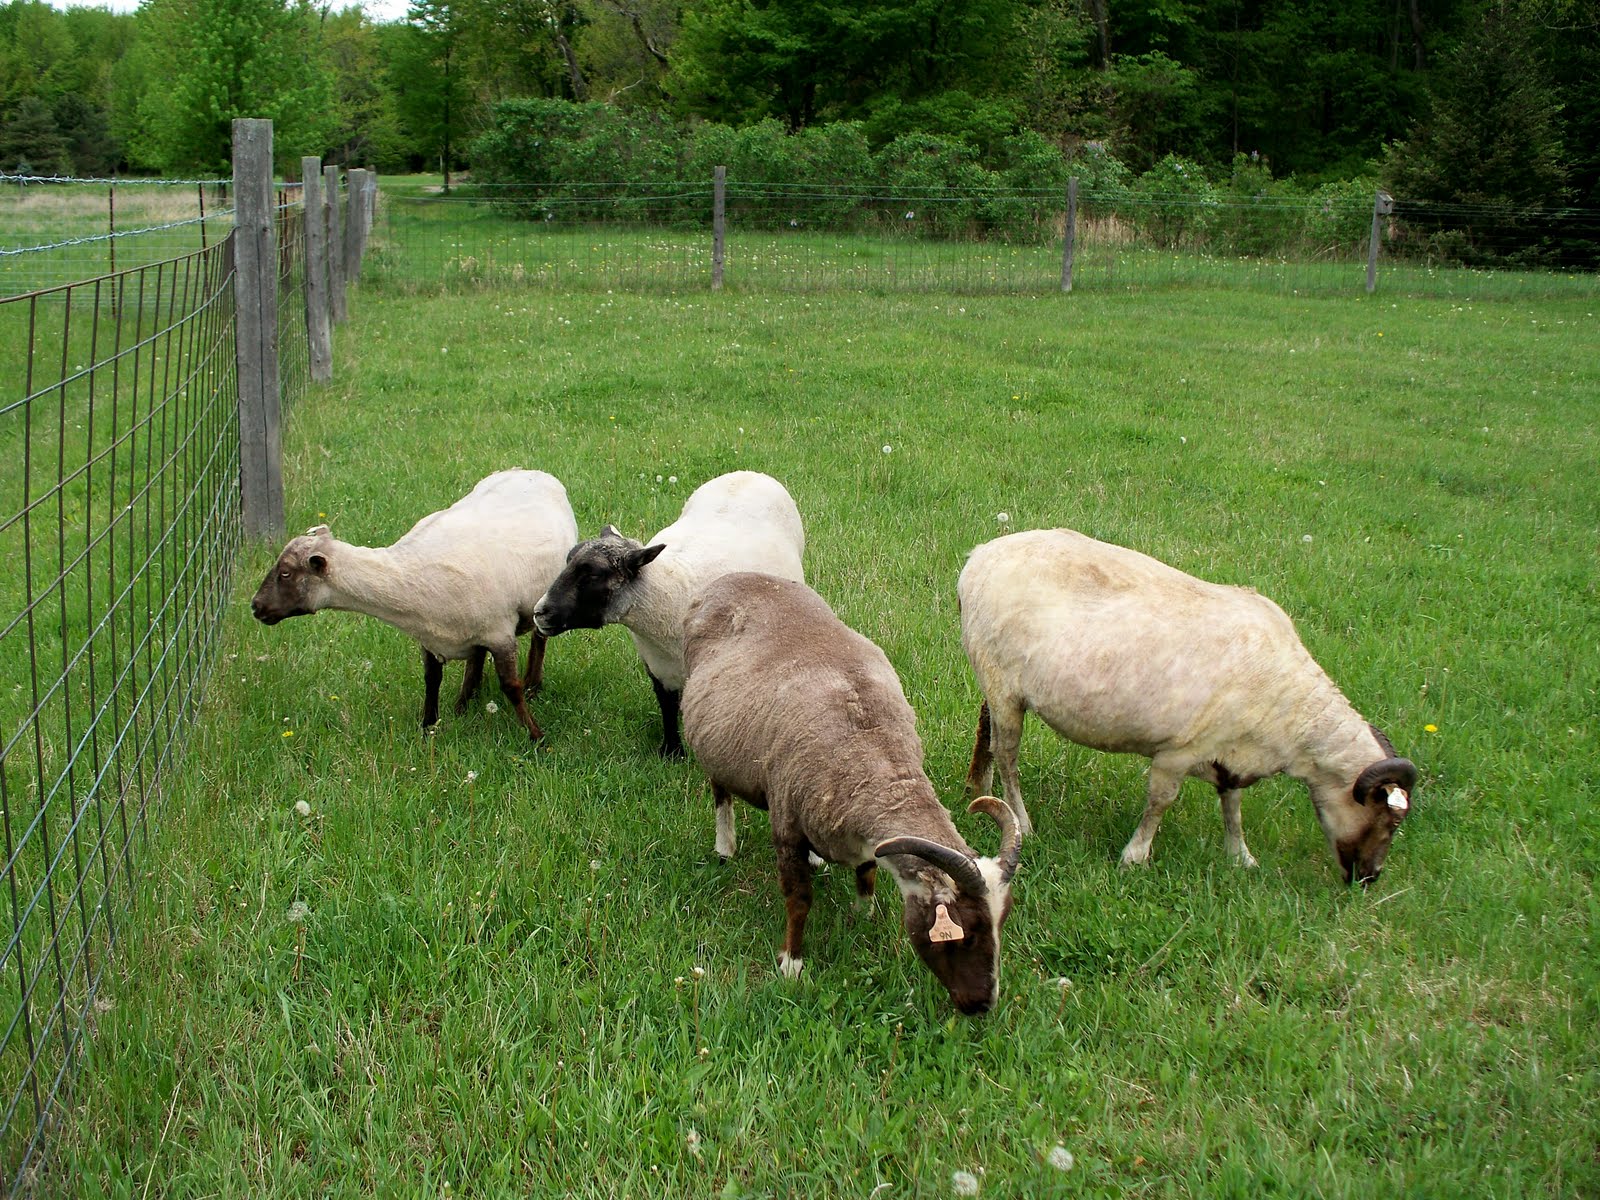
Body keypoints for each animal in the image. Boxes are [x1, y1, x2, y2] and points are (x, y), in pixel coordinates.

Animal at [251, 469, 578, 741]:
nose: (255, 606)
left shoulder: (500, 634)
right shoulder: (430, 636)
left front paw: (536, 736)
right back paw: (464, 702)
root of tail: (533, 471)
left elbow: (511, 687)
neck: (406, 577)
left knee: (538, 640)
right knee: (475, 659)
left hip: (542, 598)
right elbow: (432, 679)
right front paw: (428, 726)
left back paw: (533, 684)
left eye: (285, 573)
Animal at [531, 470, 805, 758]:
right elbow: (667, 706)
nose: (540, 612)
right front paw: (672, 751)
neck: (671, 594)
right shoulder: (656, 666)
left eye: (594, 575)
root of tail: (748, 473)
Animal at [680, 572, 1022, 1015]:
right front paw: (792, 963)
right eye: (967, 929)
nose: (982, 1005)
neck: (869, 740)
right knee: (720, 791)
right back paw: (725, 846)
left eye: (1002, 920)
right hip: (714, 743)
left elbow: (868, 870)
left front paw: (864, 913)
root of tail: (735, 576)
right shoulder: (785, 822)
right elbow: (799, 899)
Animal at [959, 528, 1417, 884]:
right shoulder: (1179, 752)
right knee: (1008, 756)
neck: (1293, 712)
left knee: (986, 729)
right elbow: (1160, 803)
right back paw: (1023, 821)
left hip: (995, 683)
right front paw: (1134, 858)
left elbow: (1233, 808)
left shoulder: (1231, 755)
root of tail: (979, 556)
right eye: (1391, 819)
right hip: (1005, 687)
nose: (1370, 878)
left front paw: (1241, 858)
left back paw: (980, 790)